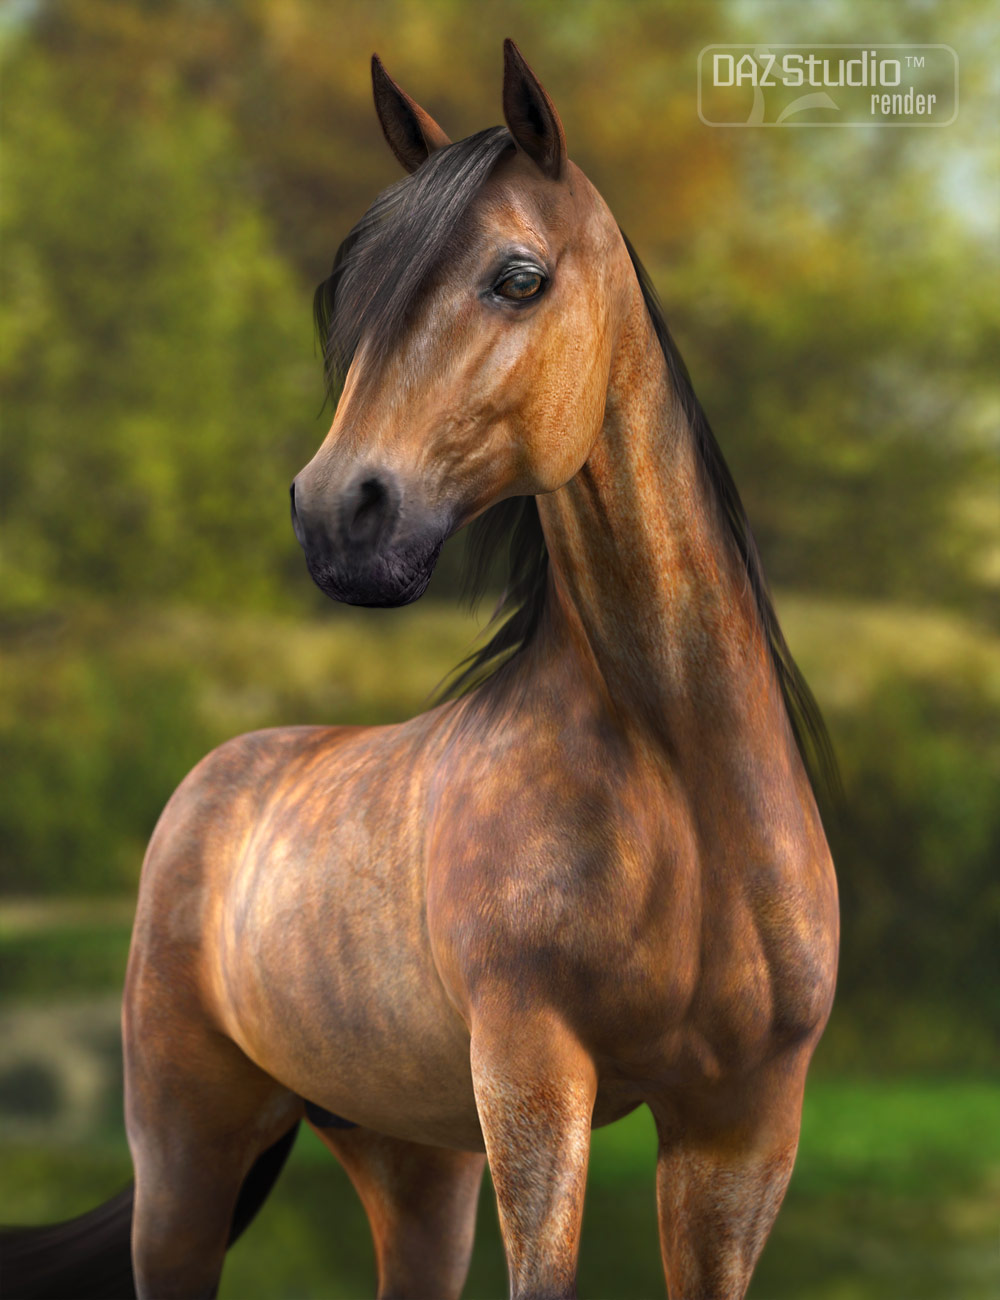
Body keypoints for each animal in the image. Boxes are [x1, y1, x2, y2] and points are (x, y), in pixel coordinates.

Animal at [4, 40, 838, 1300]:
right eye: (352, 295)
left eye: (518, 278)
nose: (337, 515)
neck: (682, 782)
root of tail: (212, 780)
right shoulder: (535, 1081)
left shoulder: (742, 1132)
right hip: (187, 1149)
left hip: (413, 1158)